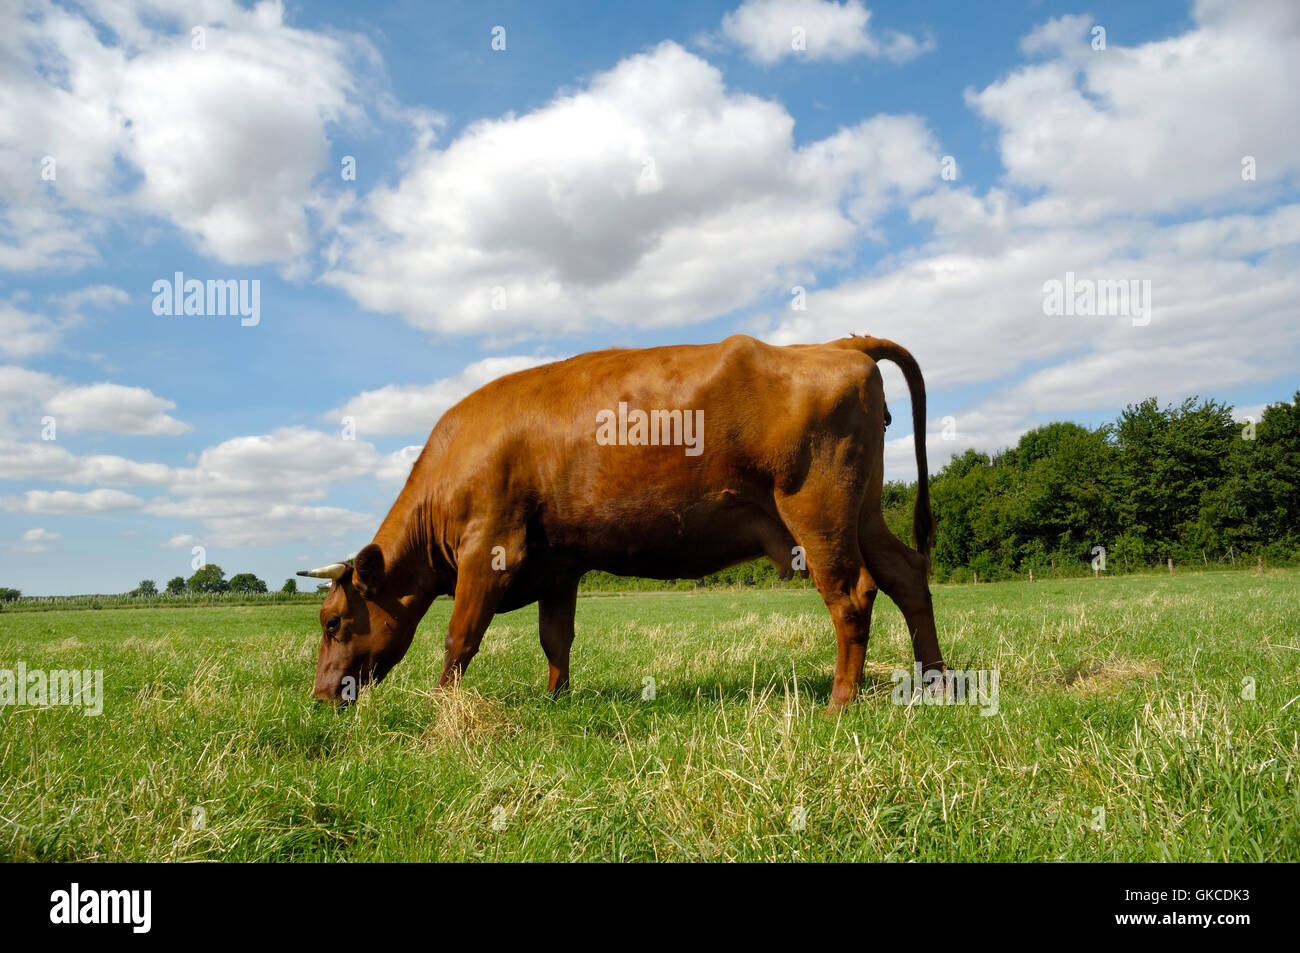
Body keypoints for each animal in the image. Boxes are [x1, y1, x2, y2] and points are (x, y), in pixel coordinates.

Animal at [299, 333, 945, 713]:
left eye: (333, 622)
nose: (322, 695)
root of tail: (833, 344)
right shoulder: (559, 563)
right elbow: (554, 636)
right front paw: (555, 699)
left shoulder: (489, 546)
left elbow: (461, 635)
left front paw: (440, 709)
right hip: (862, 512)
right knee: (908, 576)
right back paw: (936, 682)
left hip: (818, 512)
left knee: (853, 595)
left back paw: (840, 702)